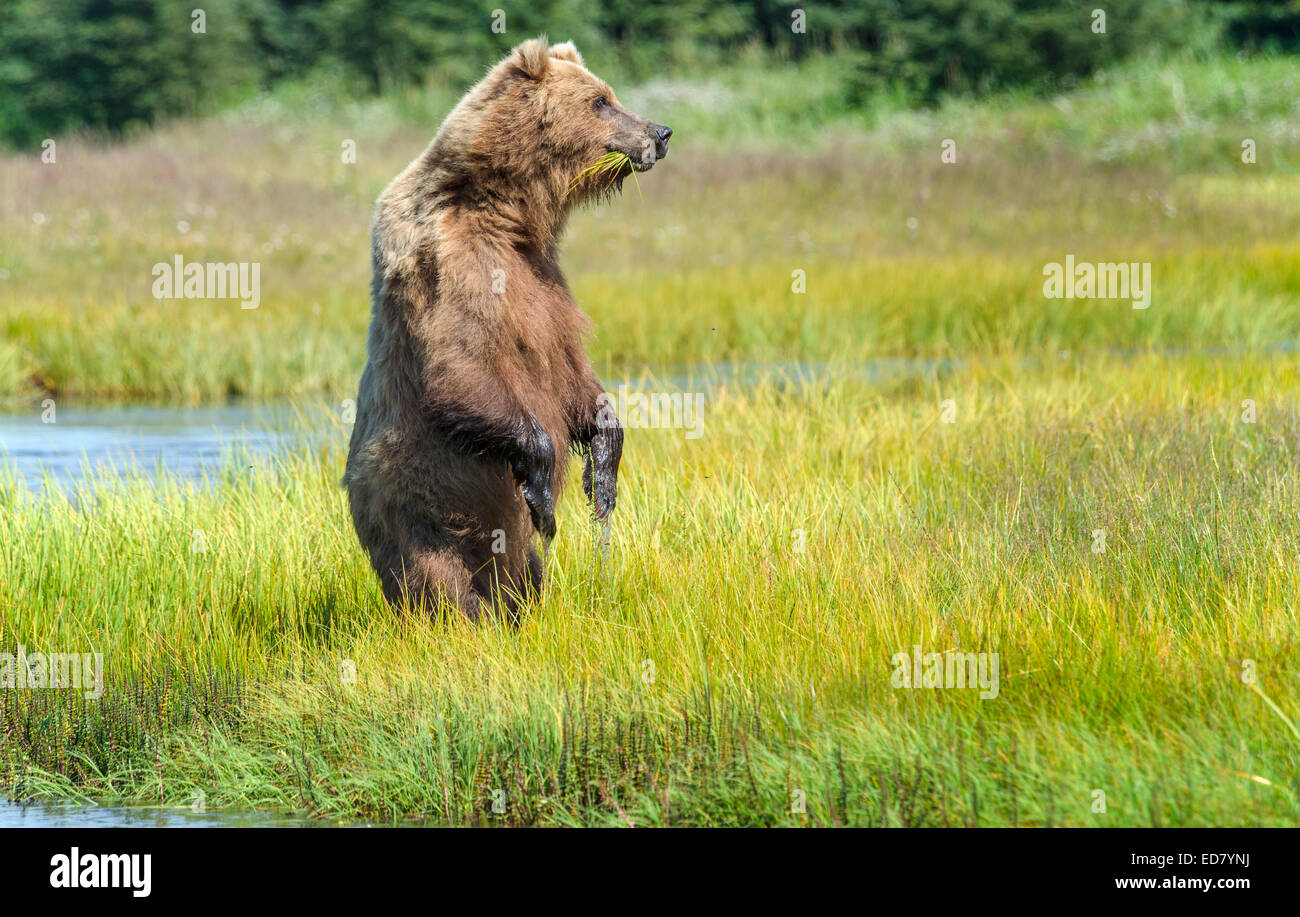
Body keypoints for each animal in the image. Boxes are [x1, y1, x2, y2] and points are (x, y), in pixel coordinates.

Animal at [343, 37, 672, 621]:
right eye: (601, 101)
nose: (660, 132)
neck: (504, 207)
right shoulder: (447, 262)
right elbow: (459, 364)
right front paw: (543, 496)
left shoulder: (543, 279)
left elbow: (571, 373)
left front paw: (602, 475)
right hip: (412, 507)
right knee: (438, 579)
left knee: (524, 572)